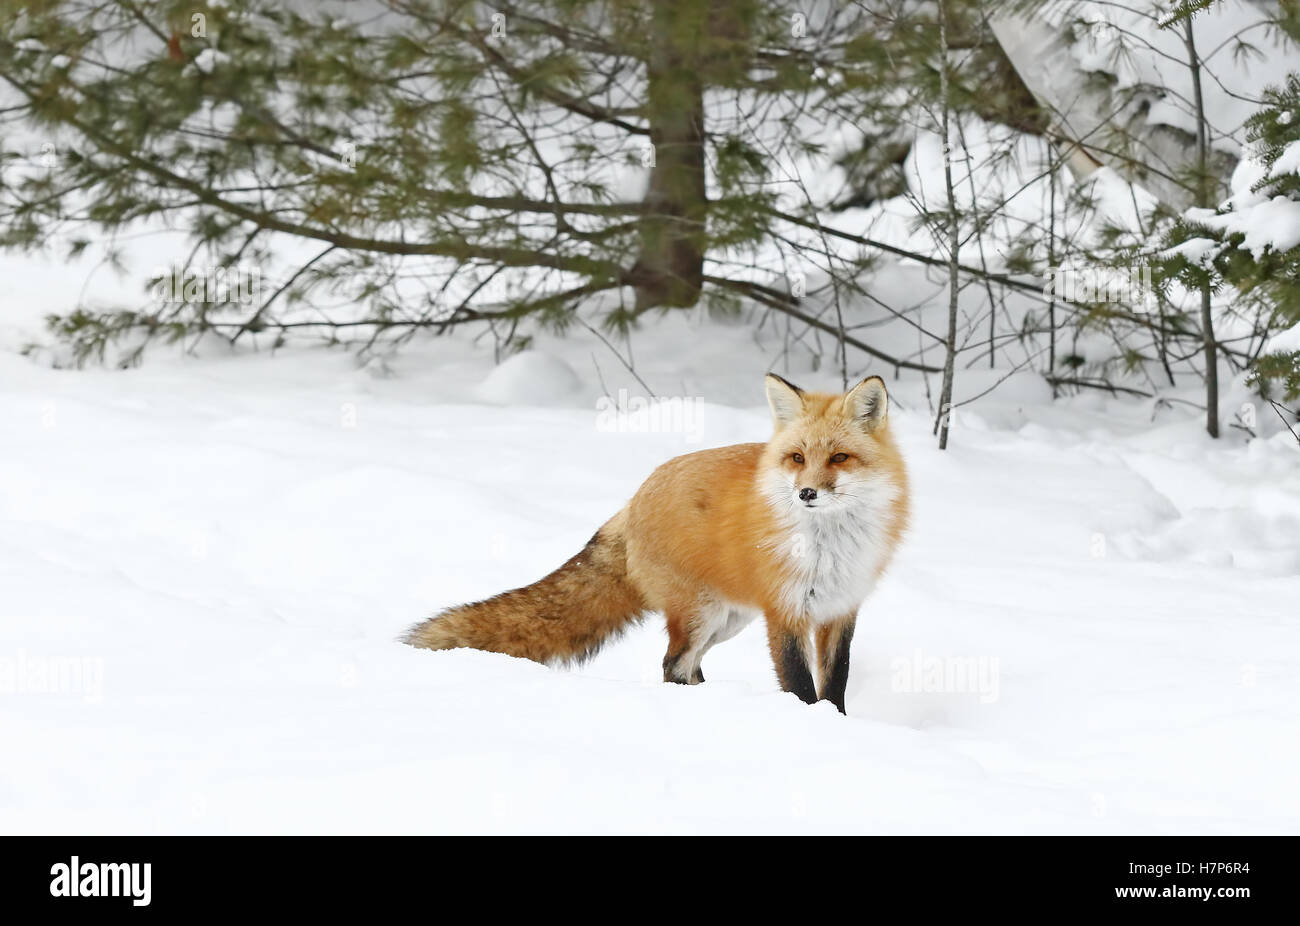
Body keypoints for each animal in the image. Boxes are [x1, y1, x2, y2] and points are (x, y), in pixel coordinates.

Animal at [404, 373, 909, 713]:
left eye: (839, 458)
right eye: (798, 458)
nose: (805, 493)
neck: (828, 546)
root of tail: (635, 497)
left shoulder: (840, 609)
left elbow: (835, 683)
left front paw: (839, 723)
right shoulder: (783, 611)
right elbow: (801, 687)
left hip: (728, 620)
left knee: (688, 667)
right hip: (702, 614)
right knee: (673, 665)